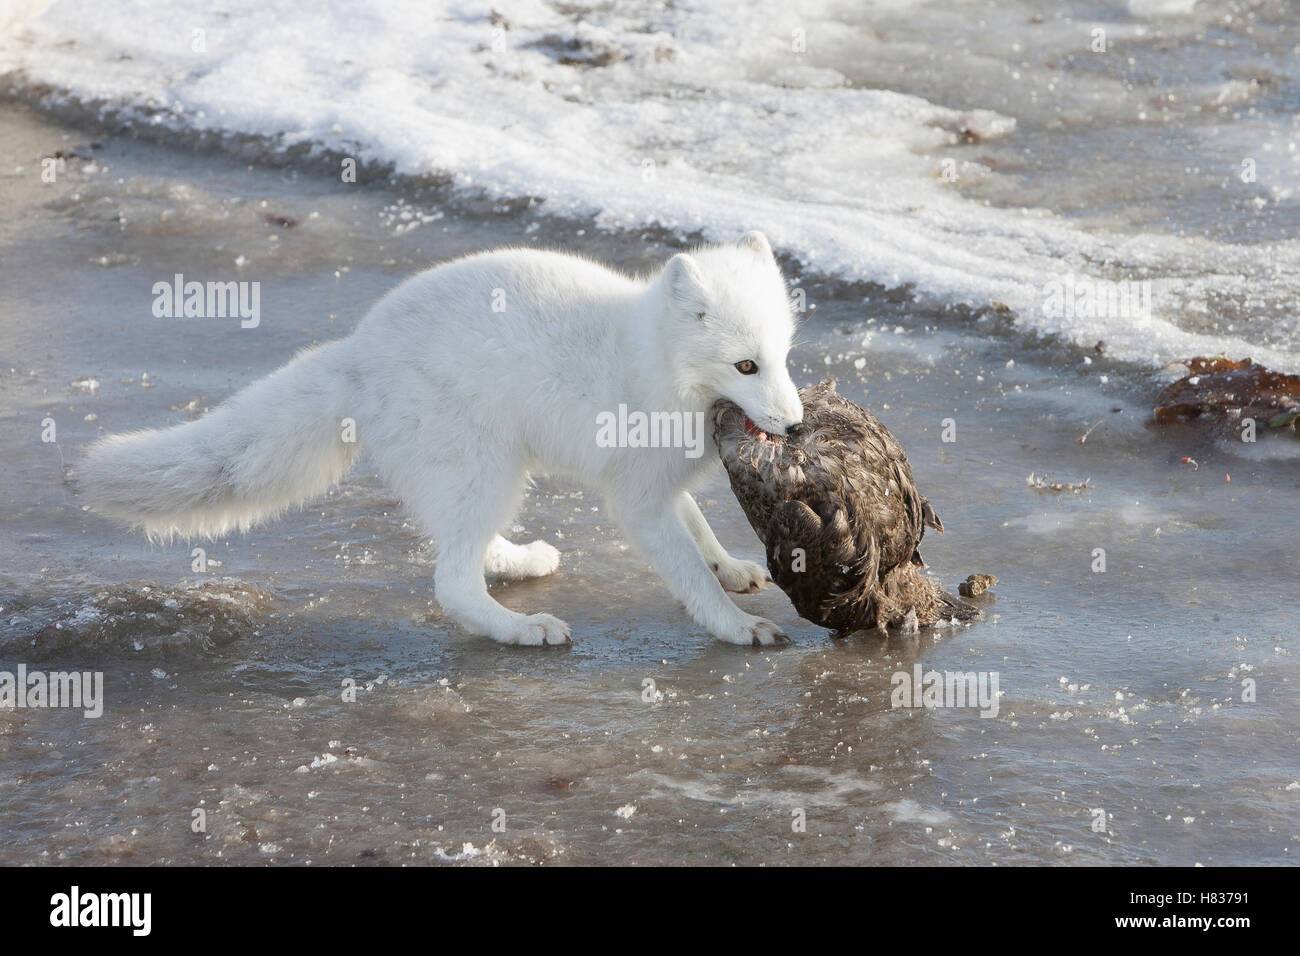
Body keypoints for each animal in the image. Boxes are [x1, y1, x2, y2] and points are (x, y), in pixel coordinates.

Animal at [78, 231, 806, 647]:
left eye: (784, 355)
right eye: (746, 366)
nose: (798, 424)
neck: (655, 362)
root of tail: (359, 349)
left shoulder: (659, 485)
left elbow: (699, 530)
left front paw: (732, 567)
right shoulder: (637, 499)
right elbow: (687, 571)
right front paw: (734, 626)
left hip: (483, 476)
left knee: (466, 552)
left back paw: (521, 563)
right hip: (485, 467)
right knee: (451, 583)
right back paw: (520, 630)